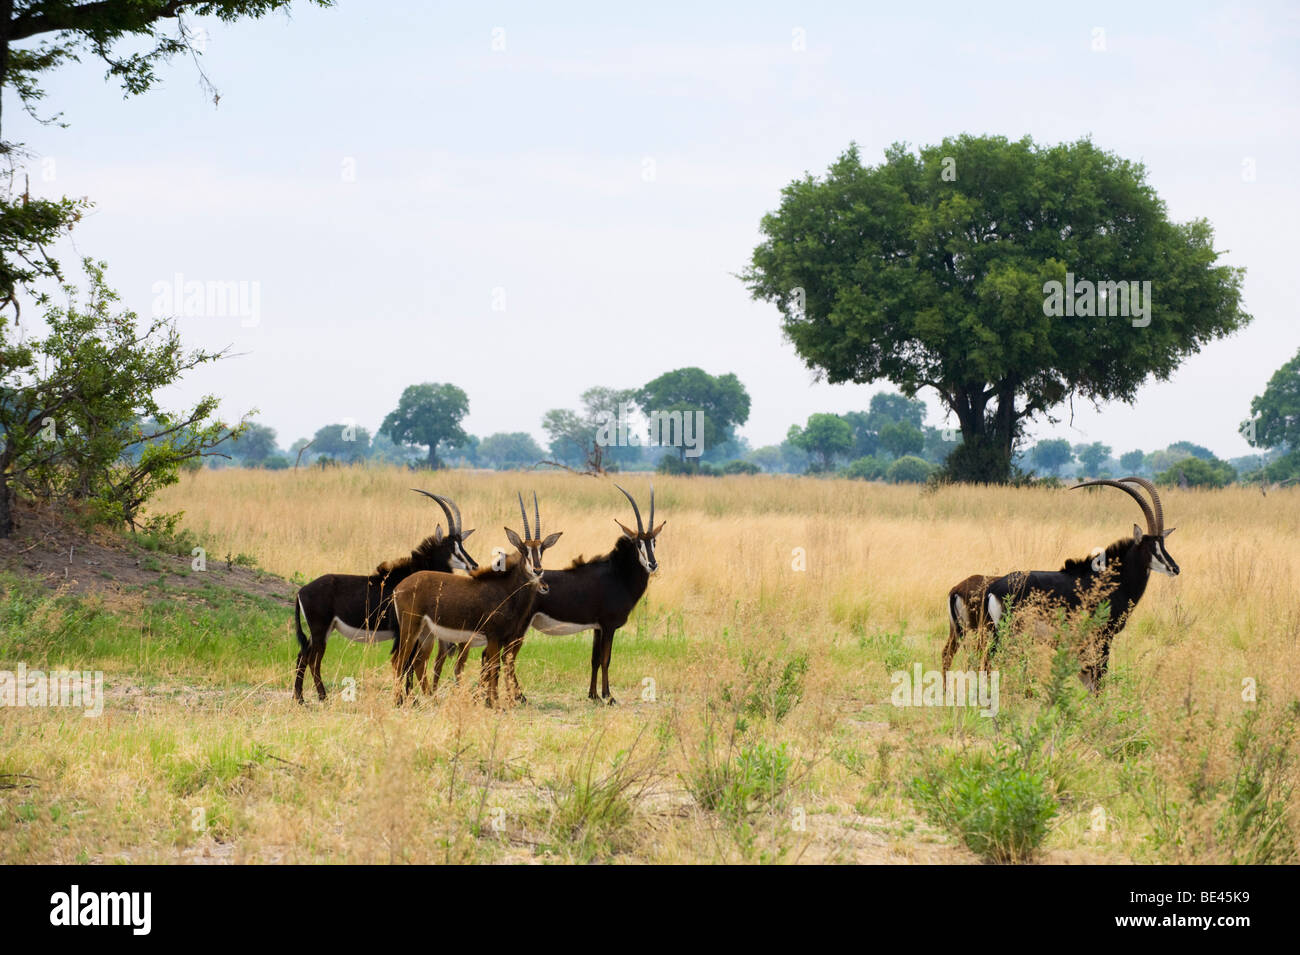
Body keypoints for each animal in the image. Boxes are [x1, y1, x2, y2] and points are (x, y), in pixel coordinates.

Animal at [292, 490, 476, 703]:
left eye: (462, 544)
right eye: (450, 547)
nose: (474, 565)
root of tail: (301, 591)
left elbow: (409, 664)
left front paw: (409, 698)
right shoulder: (404, 631)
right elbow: (406, 664)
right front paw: (405, 699)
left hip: (324, 630)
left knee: (302, 655)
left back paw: (300, 698)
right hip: (320, 630)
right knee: (312, 659)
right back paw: (321, 697)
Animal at [392, 492, 560, 707]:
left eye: (542, 550)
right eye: (524, 550)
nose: (538, 571)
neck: (506, 589)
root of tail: (400, 586)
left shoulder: (504, 639)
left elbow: (494, 669)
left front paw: (493, 702)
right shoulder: (494, 638)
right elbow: (493, 669)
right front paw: (495, 704)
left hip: (427, 634)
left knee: (419, 663)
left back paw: (432, 700)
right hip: (410, 627)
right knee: (400, 661)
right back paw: (399, 701)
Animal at [431, 484, 663, 704]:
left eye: (654, 542)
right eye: (638, 543)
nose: (652, 564)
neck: (617, 574)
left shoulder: (597, 628)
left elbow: (595, 659)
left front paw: (593, 695)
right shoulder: (608, 626)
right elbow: (606, 659)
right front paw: (608, 696)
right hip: (520, 626)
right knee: (504, 656)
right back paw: (517, 696)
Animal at [948, 476, 1178, 691]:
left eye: (1163, 543)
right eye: (1150, 547)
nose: (1175, 568)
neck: (1113, 580)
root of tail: (993, 589)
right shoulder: (1103, 637)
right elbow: (1099, 678)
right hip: (1005, 634)